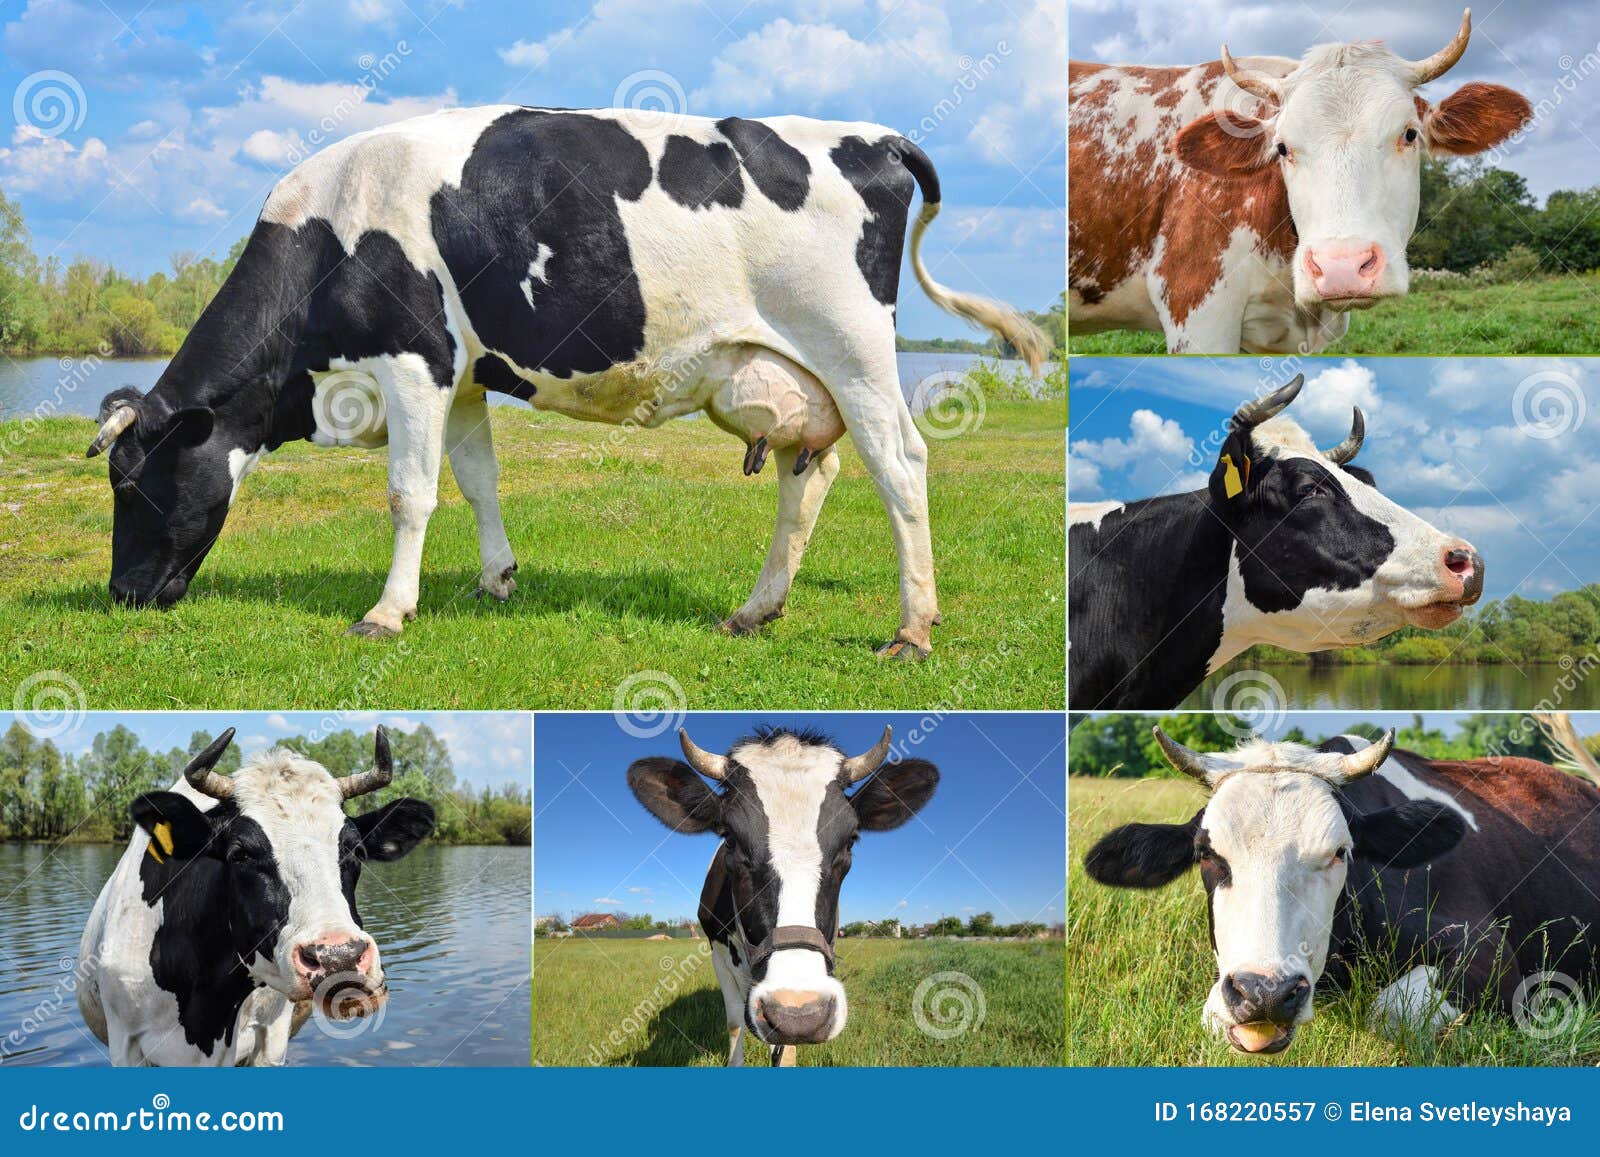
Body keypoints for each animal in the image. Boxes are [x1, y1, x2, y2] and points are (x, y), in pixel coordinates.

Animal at [84, 108, 1050, 661]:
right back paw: (754, 610)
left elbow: (409, 493)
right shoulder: (467, 377)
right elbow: (476, 481)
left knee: (900, 464)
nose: (122, 596)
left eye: (131, 484)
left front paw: (387, 612)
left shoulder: (414, 359)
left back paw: (912, 629)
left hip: (853, 348)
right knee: (808, 476)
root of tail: (874, 136)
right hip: (788, 372)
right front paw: (496, 579)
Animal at [626, 725, 938, 1066]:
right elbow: (734, 1022)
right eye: (730, 838)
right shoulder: (717, 954)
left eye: (850, 840)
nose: (798, 1012)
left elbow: (785, 1050)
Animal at [1082, 723, 1600, 1056]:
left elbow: (1388, 1011)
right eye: (1207, 854)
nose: (1265, 994)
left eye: (1339, 852)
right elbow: (1212, 1014)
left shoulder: (1489, 953)